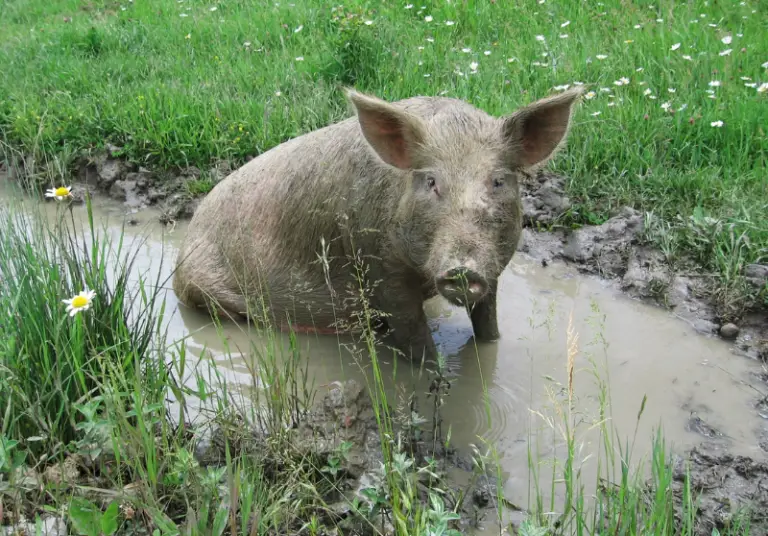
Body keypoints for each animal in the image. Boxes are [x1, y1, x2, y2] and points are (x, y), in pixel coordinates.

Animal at [172, 86, 584, 361]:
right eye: (430, 181)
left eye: (498, 181)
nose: (462, 269)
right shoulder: (376, 268)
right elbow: (416, 339)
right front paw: (432, 367)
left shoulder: (495, 265)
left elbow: (488, 327)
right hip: (204, 289)